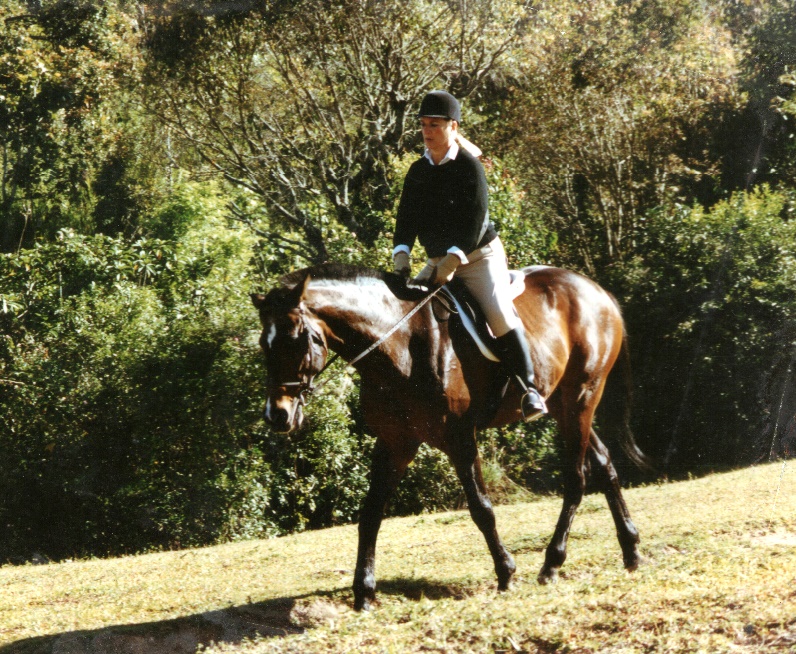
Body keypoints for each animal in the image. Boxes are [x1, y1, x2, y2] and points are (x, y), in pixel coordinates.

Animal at [251, 263, 651, 611]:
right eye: (264, 344)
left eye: (296, 339)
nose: (277, 415)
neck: (400, 345)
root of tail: (596, 290)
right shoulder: (395, 443)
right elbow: (371, 513)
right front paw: (363, 592)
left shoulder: (459, 438)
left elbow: (481, 508)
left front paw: (506, 573)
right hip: (563, 404)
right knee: (604, 465)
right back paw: (631, 550)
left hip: (582, 396)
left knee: (576, 478)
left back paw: (552, 563)